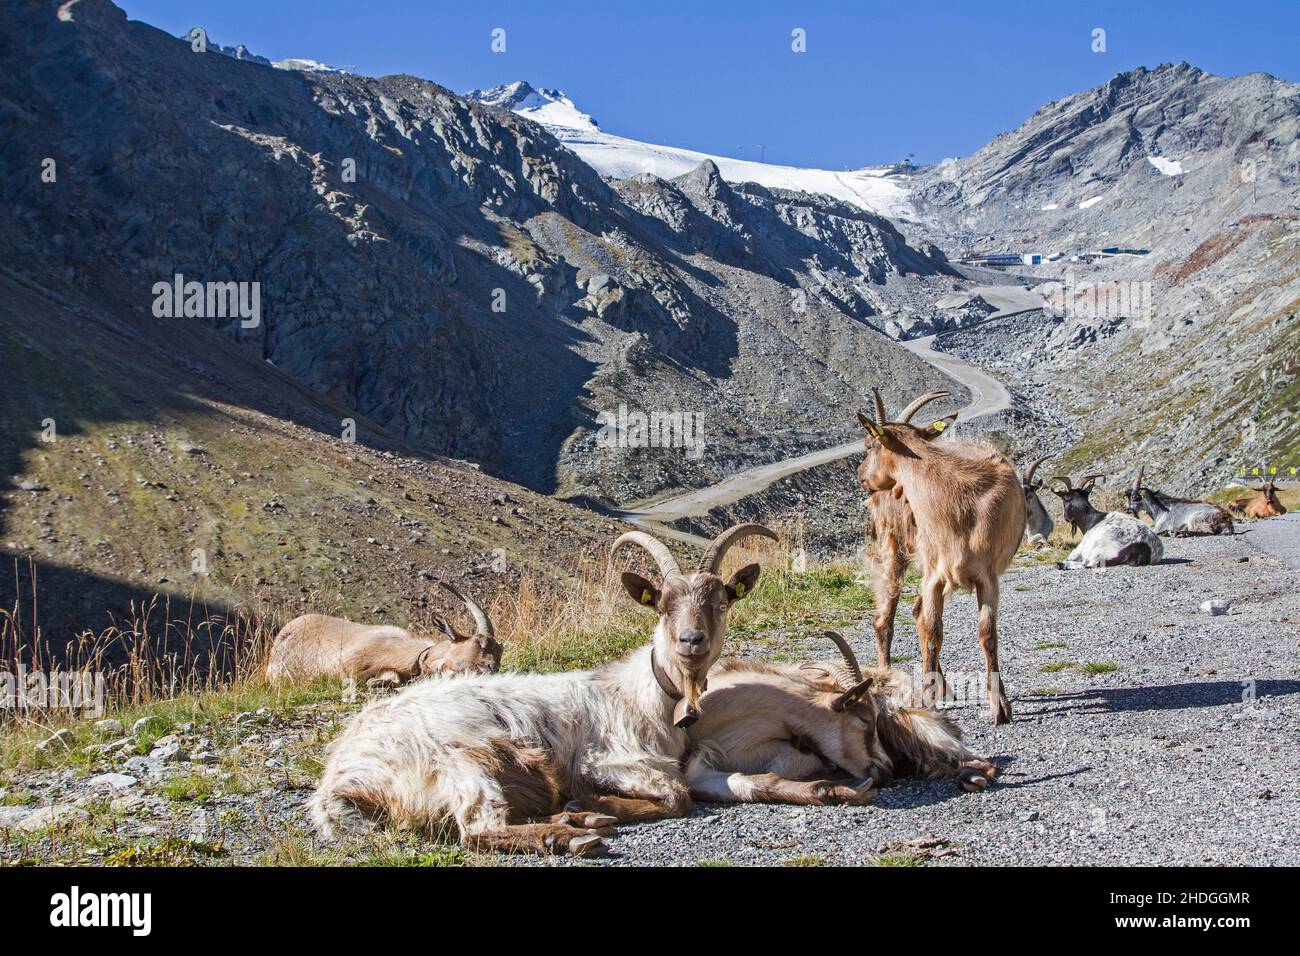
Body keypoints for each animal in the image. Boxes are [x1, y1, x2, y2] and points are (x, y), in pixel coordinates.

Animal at [309, 524, 775, 857]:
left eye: (721, 603)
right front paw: (593, 805)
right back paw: (573, 834)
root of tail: (340, 780)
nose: (691, 641)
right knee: (478, 831)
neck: (643, 695)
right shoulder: (606, 758)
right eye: (662, 606)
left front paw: (588, 808)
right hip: (466, 759)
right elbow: (679, 796)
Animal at [856, 387, 1025, 724]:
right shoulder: (934, 574)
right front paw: (926, 697)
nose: (860, 476)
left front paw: (998, 706)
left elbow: (988, 634)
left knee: (915, 614)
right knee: (887, 618)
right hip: (895, 547)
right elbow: (934, 631)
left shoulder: (988, 577)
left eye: (869, 445)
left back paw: (942, 685)